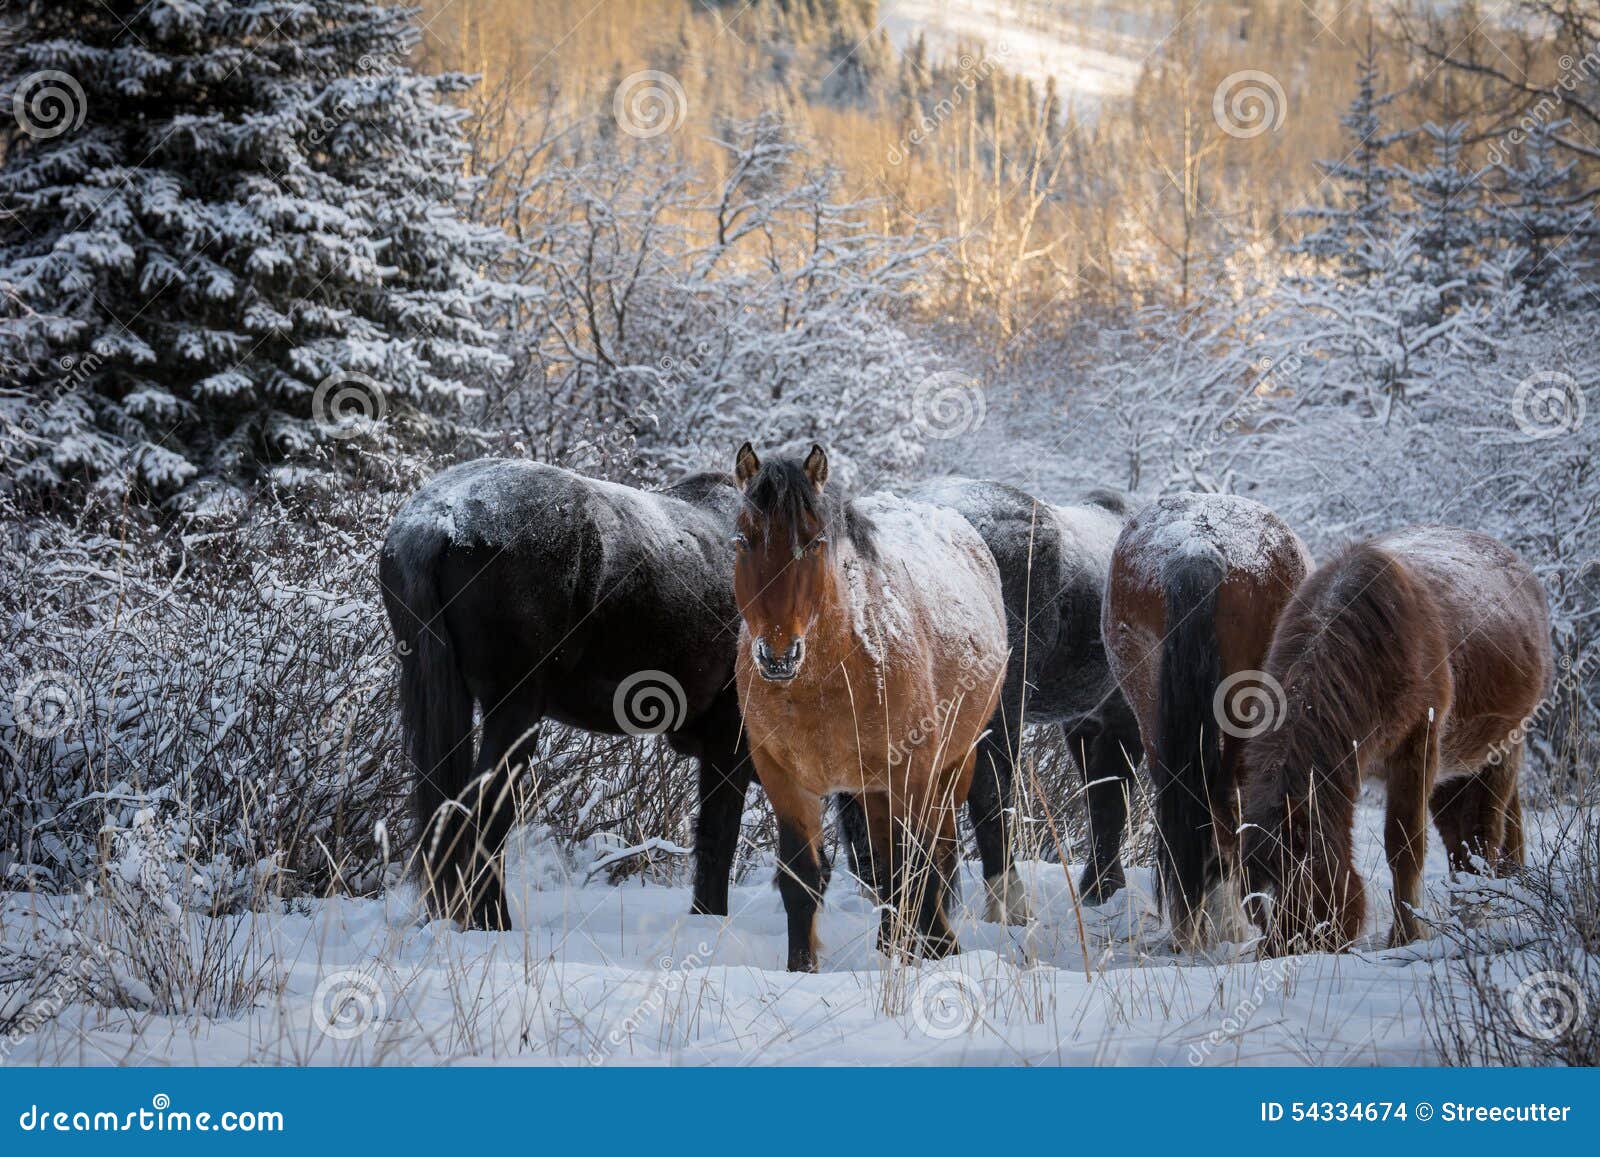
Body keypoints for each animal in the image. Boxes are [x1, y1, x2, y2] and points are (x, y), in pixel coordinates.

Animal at [379, 457, 750, 929]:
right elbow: (721, 836)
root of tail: (435, 522)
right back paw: (493, 921)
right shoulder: (732, 738)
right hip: (515, 709)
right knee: (483, 813)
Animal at [731, 443, 1009, 971]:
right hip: (874, 789)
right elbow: (802, 880)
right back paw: (889, 946)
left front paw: (941, 953)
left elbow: (917, 870)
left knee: (931, 857)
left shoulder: (914, 773)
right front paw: (802, 969)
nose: (778, 655)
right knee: (886, 863)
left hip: (952, 767)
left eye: (815, 542)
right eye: (742, 540)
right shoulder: (785, 777)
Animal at [1239, 526, 1551, 952]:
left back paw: (1477, 916)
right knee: (1464, 842)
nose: (1279, 953)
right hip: (1454, 767)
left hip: (1502, 747)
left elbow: (1404, 847)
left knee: (1485, 833)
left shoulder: (1415, 750)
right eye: (1255, 906)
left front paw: (1405, 937)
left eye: (1299, 886)